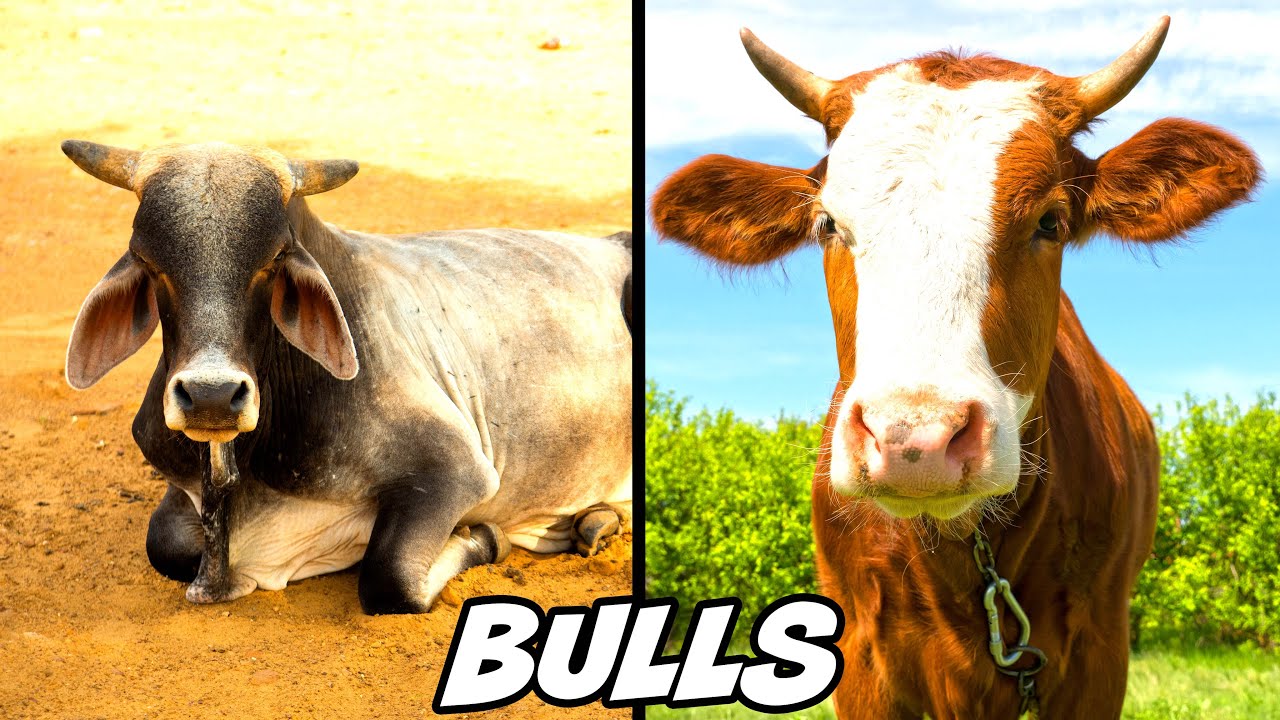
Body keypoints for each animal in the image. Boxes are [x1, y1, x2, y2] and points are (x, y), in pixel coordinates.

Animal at [62, 140, 632, 615]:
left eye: (273, 260)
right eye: (148, 261)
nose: (212, 396)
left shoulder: (456, 469)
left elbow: (391, 578)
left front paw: (485, 536)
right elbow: (164, 544)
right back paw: (594, 522)